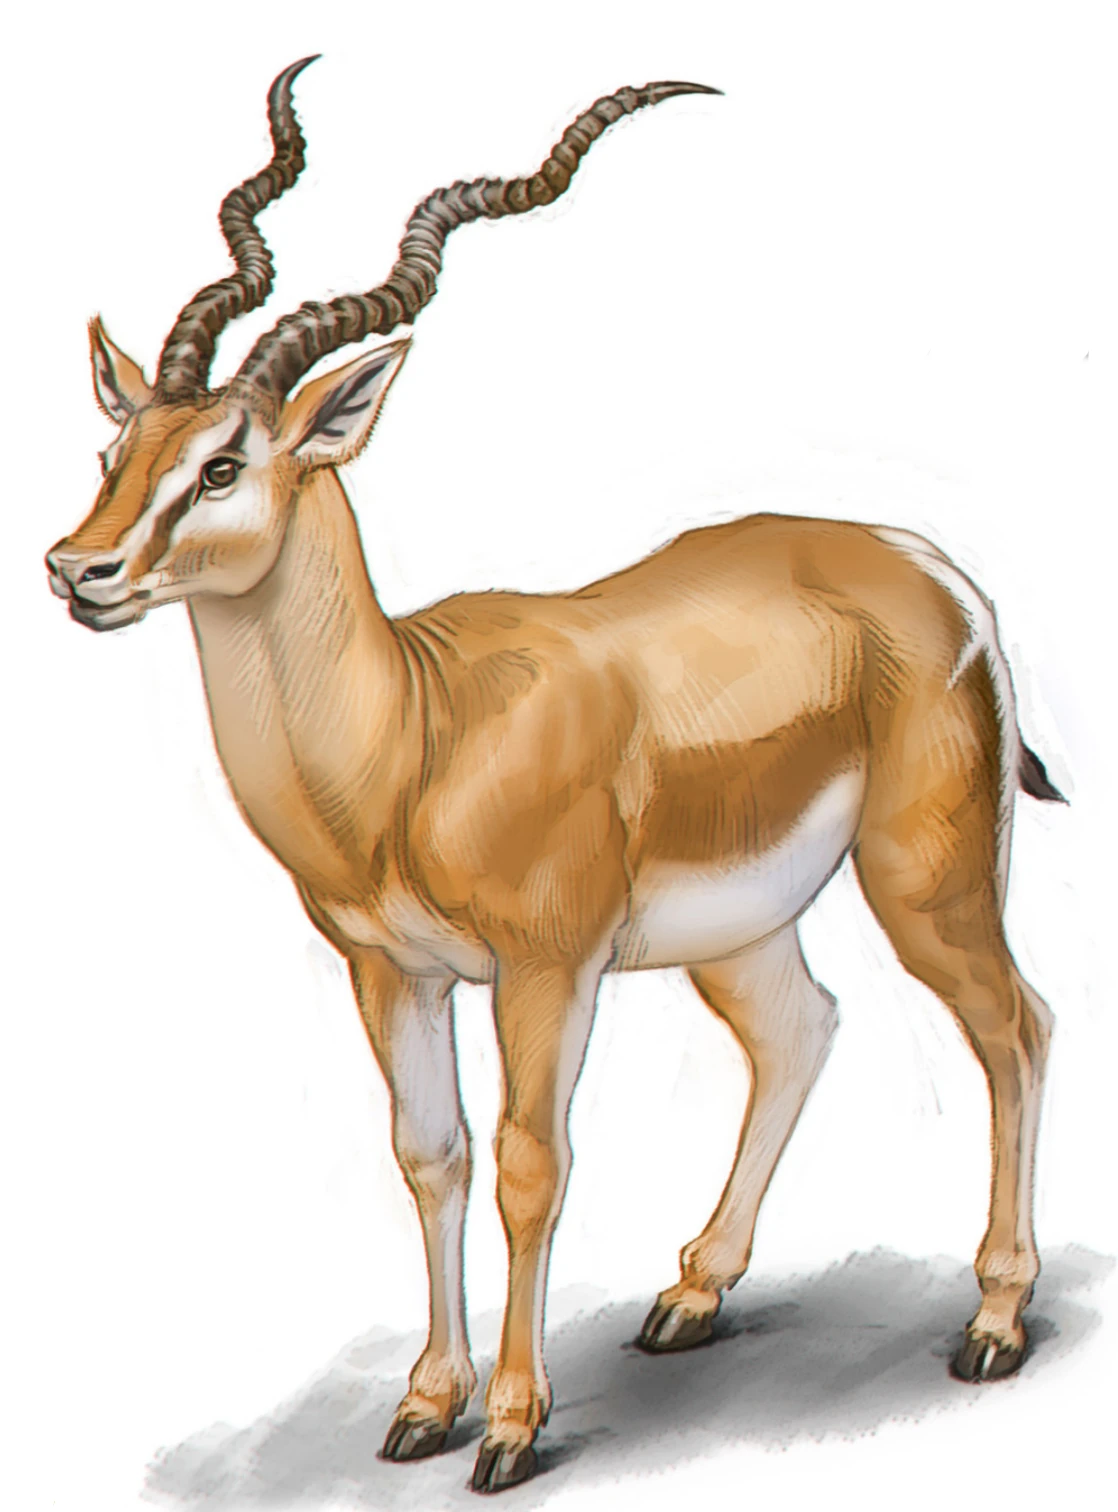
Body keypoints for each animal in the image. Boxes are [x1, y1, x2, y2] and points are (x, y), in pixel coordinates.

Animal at [47, 58, 1064, 1495]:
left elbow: (533, 1161)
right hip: (739, 927)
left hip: (924, 875)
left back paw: (991, 1323)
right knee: (801, 1030)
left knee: (1014, 1026)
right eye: (114, 454)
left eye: (223, 464)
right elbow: (431, 1156)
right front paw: (426, 1405)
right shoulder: (392, 972)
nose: (77, 571)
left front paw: (513, 1428)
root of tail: (919, 560)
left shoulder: (545, 968)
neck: (415, 739)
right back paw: (690, 1298)